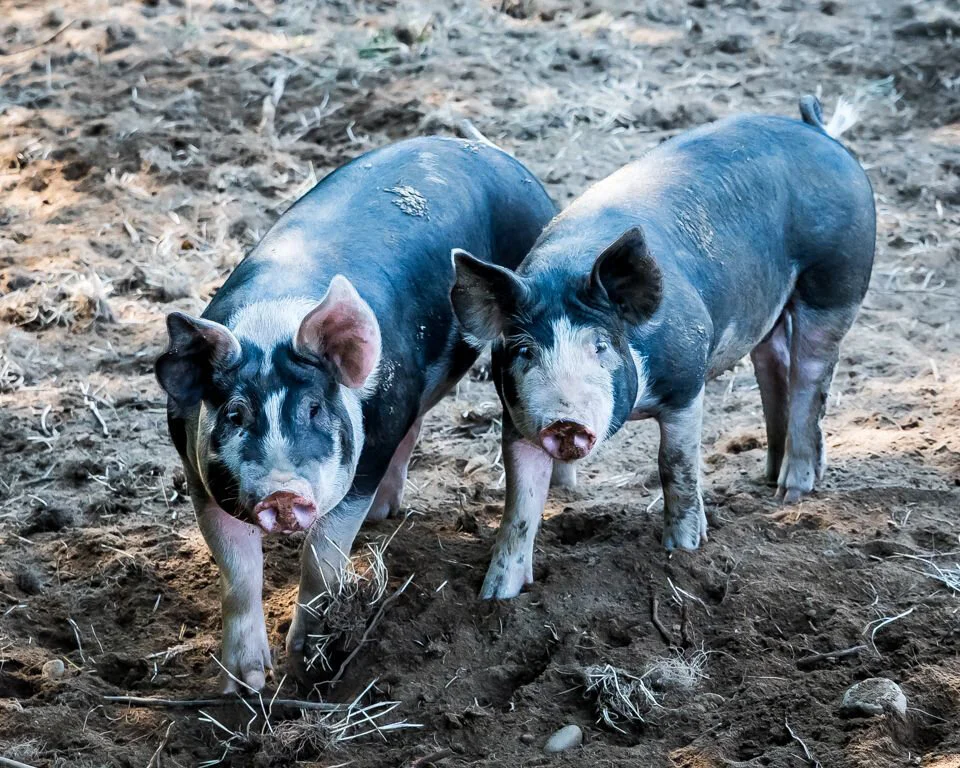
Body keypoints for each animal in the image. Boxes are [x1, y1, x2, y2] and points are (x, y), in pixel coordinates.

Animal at [156, 133, 555, 690]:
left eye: (314, 408)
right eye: (235, 414)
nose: (282, 491)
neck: (271, 326)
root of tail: (487, 150)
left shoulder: (363, 464)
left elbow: (322, 560)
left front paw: (308, 663)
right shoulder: (199, 475)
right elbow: (238, 573)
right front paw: (245, 684)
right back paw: (386, 513)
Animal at [451, 96, 875, 599]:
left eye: (600, 346)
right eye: (525, 351)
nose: (565, 421)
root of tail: (819, 133)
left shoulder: (686, 383)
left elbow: (675, 465)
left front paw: (684, 550)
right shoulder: (516, 415)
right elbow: (519, 506)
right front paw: (495, 597)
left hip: (835, 282)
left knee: (812, 374)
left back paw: (792, 492)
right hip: (771, 310)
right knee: (773, 363)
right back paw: (769, 477)